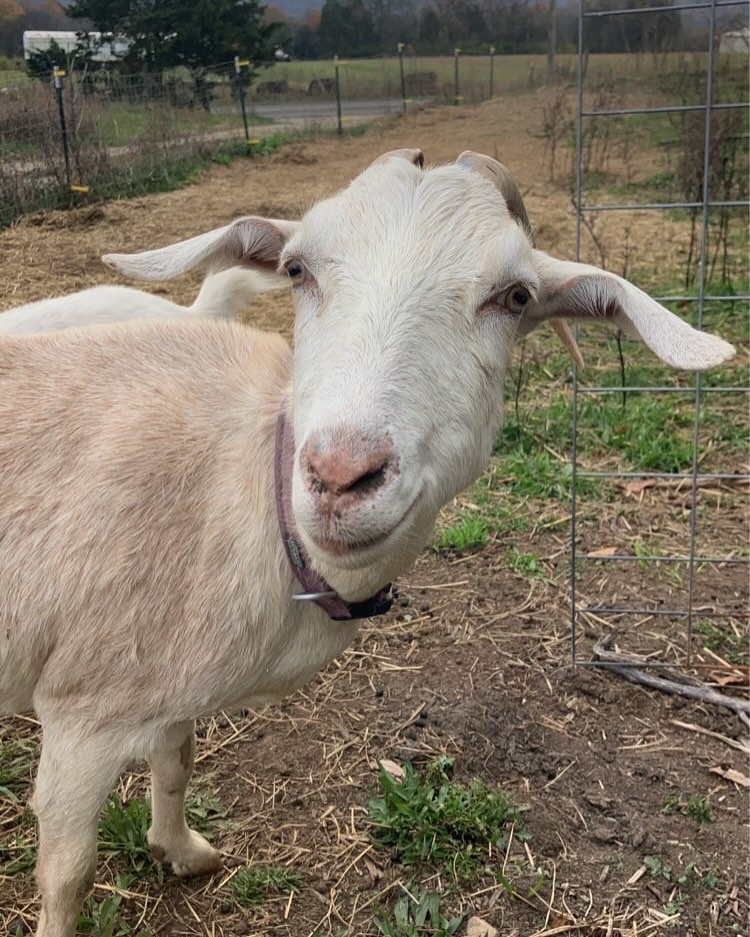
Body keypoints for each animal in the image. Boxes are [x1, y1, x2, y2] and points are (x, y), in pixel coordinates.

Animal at [0, 149, 735, 937]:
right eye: (296, 269)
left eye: (514, 296)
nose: (339, 476)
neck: (245, 494)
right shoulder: (81, 709)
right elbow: (69, 869)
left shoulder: (158, 681)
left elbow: (176, 760)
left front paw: (182, 849)